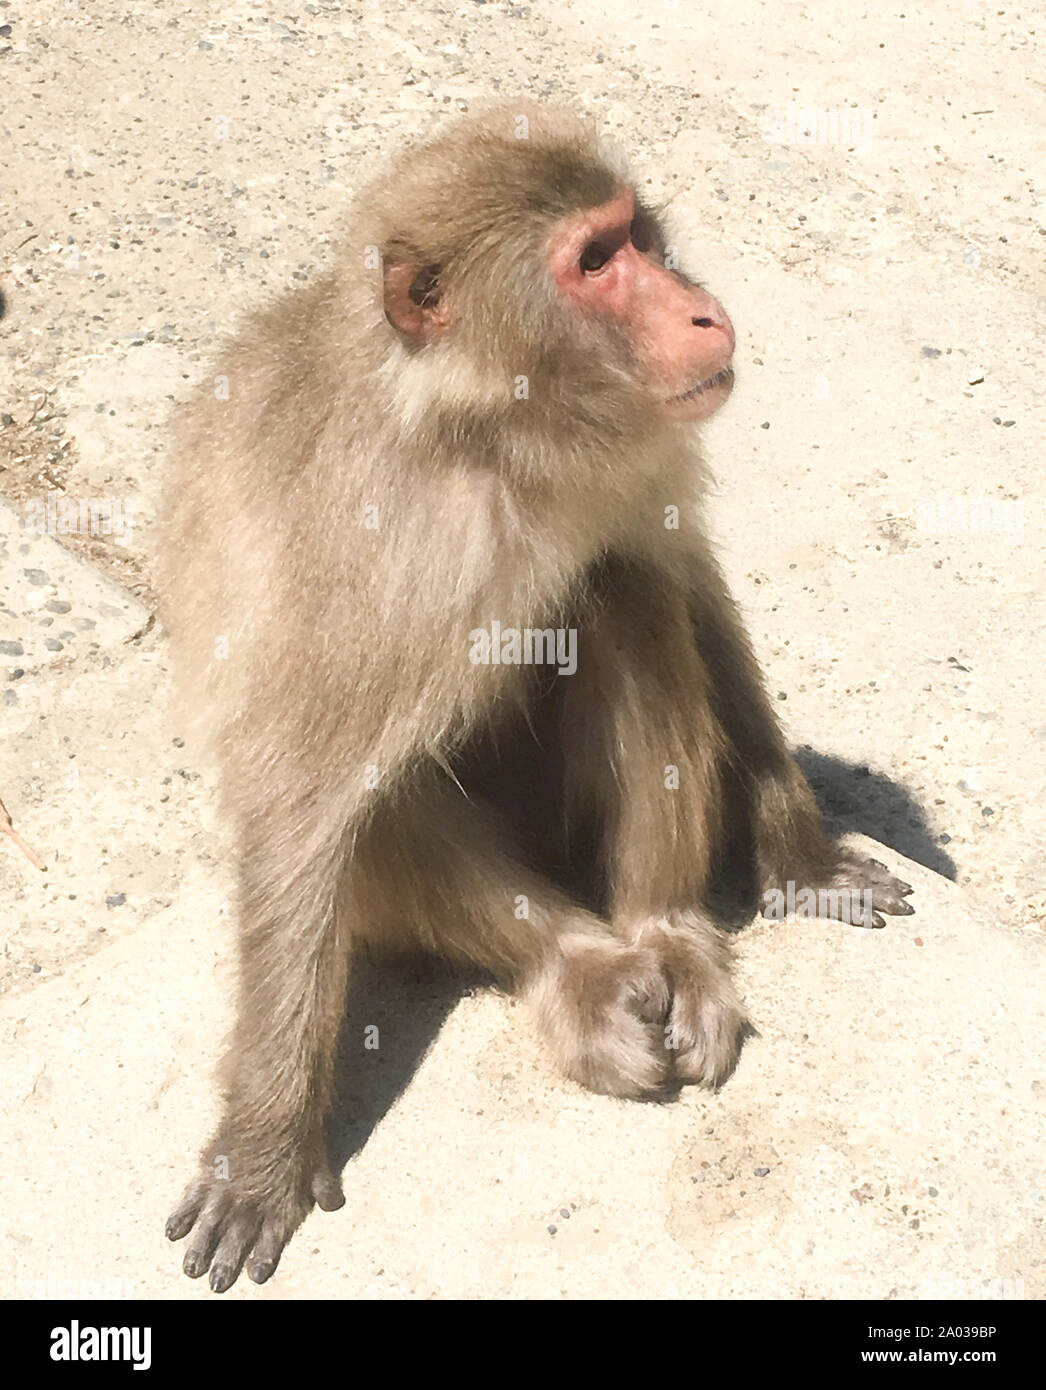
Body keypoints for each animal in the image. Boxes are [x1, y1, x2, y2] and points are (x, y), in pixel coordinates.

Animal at [159, 104, 913, 1292]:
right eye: (594, 263)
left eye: (635, 234)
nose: (700, 307)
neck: (497, 442)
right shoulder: (360, 534)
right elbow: (301, 797)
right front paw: (264, 1146)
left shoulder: (638, 447)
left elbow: (686, 575)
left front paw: (802, 855)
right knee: (382, 784)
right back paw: (580, 965)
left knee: (623, 587)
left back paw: (666, 936)